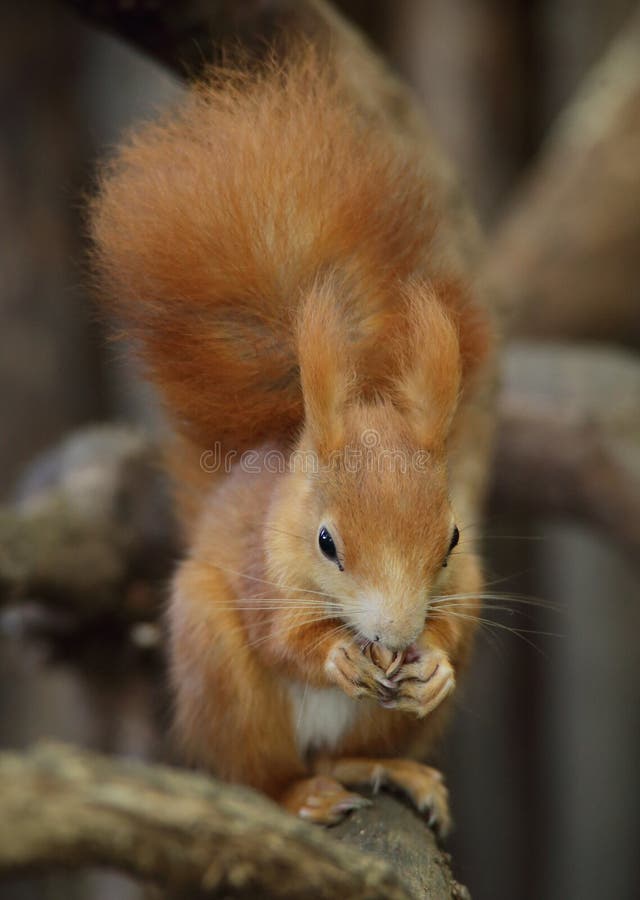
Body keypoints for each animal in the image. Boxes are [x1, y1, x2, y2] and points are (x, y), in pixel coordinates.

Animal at [90, 45, 491, 833]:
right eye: (326, 542)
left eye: (453, 538)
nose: (395, 637)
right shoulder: (260, 570)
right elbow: (281, 639)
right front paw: (334, 657)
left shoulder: (468, 579)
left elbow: (456, 626)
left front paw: (433, 662)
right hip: (220, 673)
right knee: (259, 774)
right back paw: (300, 795)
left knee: (345, 754)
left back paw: (387, 767)